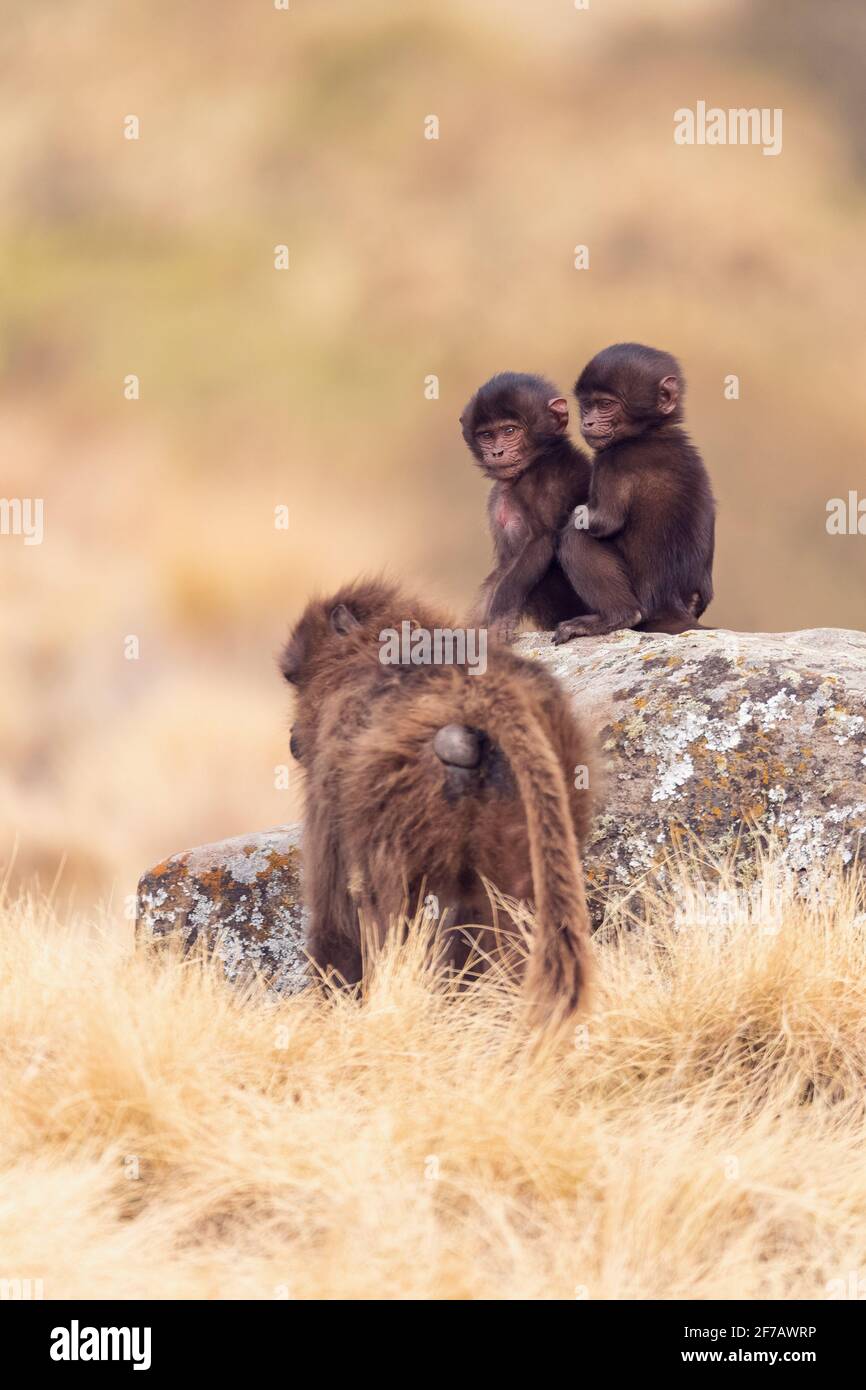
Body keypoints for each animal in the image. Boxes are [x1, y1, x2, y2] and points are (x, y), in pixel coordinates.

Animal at [460, 372, 592, 643]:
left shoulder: (550, 482)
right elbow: (504, 565)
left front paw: (500, 619)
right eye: (487, 436)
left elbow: (541, 543)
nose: (497, 452)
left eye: (510, 431)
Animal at [553, 343, 715, 643]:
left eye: (605, 405)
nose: (588, 423)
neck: (651, 432)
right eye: (587, 405)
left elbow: (600, 522)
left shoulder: (612, 460)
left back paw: (616, 616)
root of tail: (670, 605)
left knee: (574, 536)